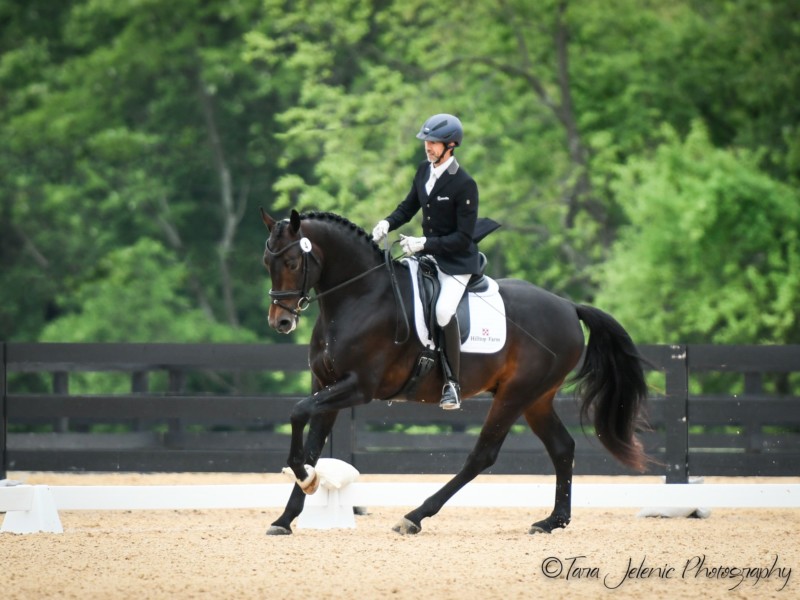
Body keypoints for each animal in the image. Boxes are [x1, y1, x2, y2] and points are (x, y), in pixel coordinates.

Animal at [261, 208, 649, 535]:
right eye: (267, 262)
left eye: (292, 262)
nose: (281, 322)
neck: (360, 296)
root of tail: (568, 306)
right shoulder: (326, 384)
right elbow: (312, 441)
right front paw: (287, 515)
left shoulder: (358, 387)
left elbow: (298, 413)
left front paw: (304, 478)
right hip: (536, 398)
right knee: (562, 447)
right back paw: (552, 521)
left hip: (516, 394)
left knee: (483, 455)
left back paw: (414, 517)